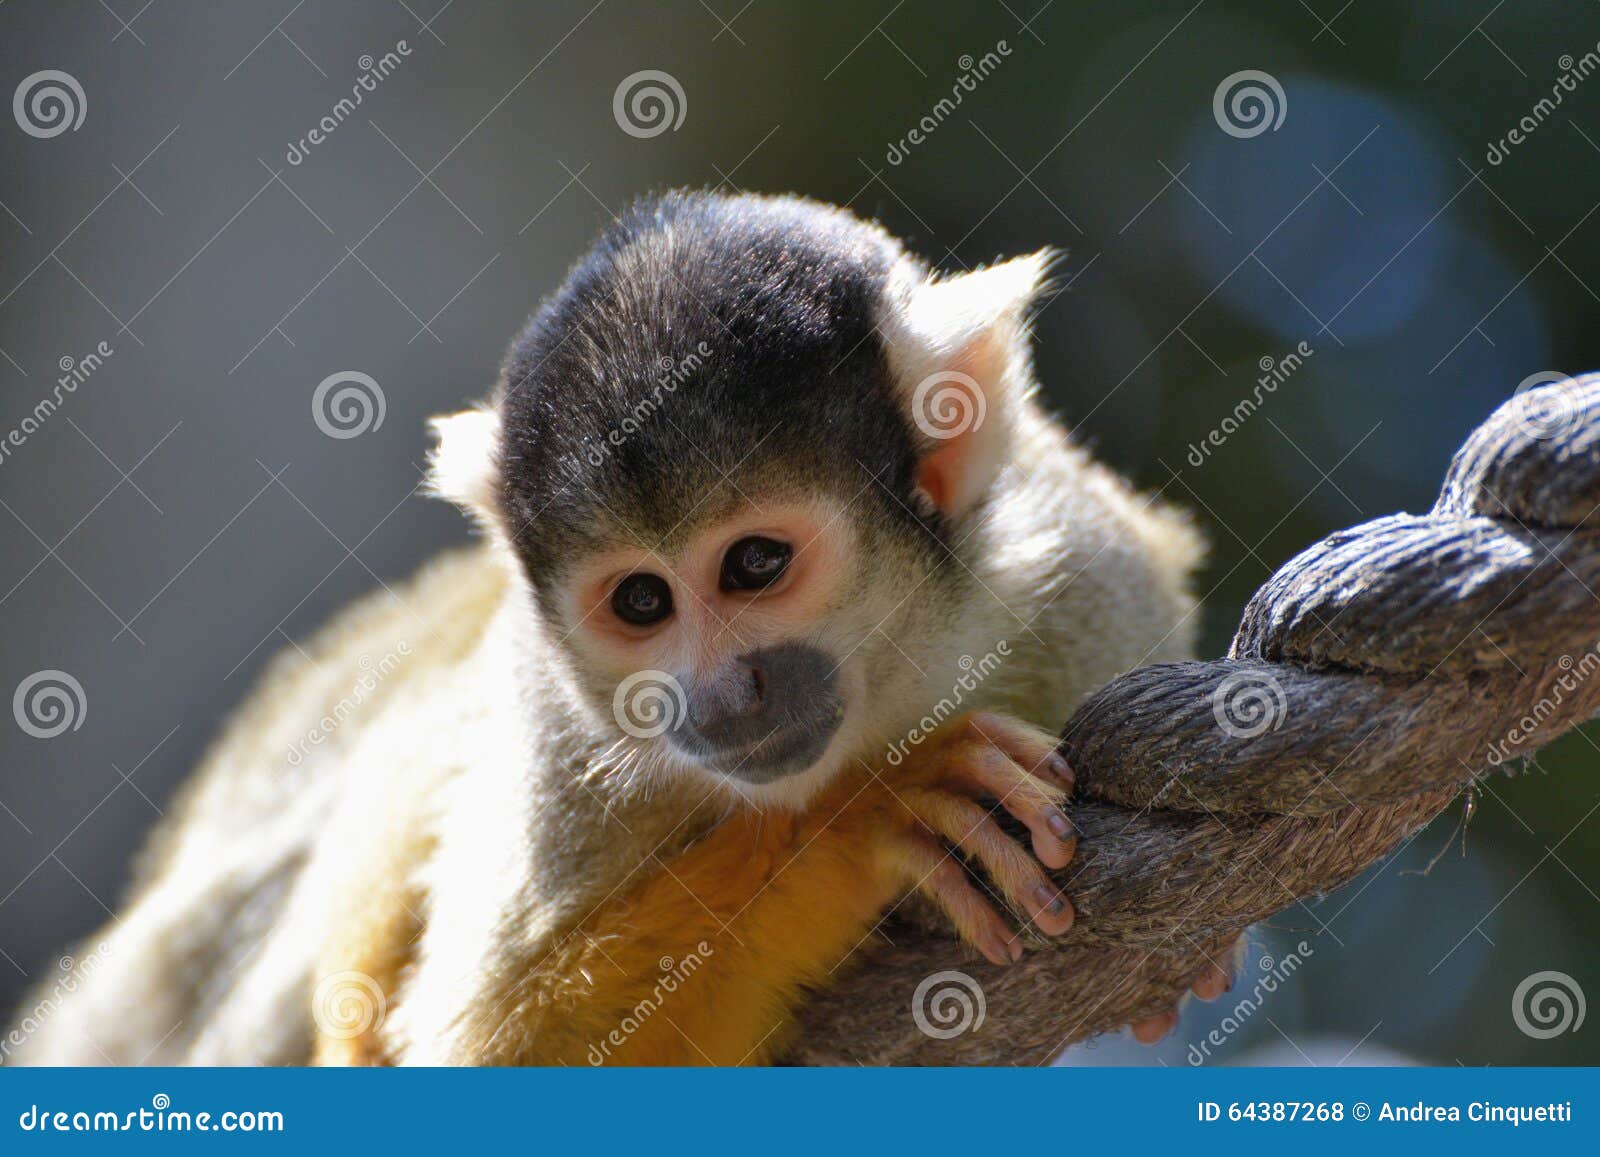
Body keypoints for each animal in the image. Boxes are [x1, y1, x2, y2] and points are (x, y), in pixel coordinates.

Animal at [7, 191, 1229, 1066]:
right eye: (641, 601)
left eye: (755, 565)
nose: (719, 695)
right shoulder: (564, 737)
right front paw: (873, 813)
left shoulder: (1085, 582)